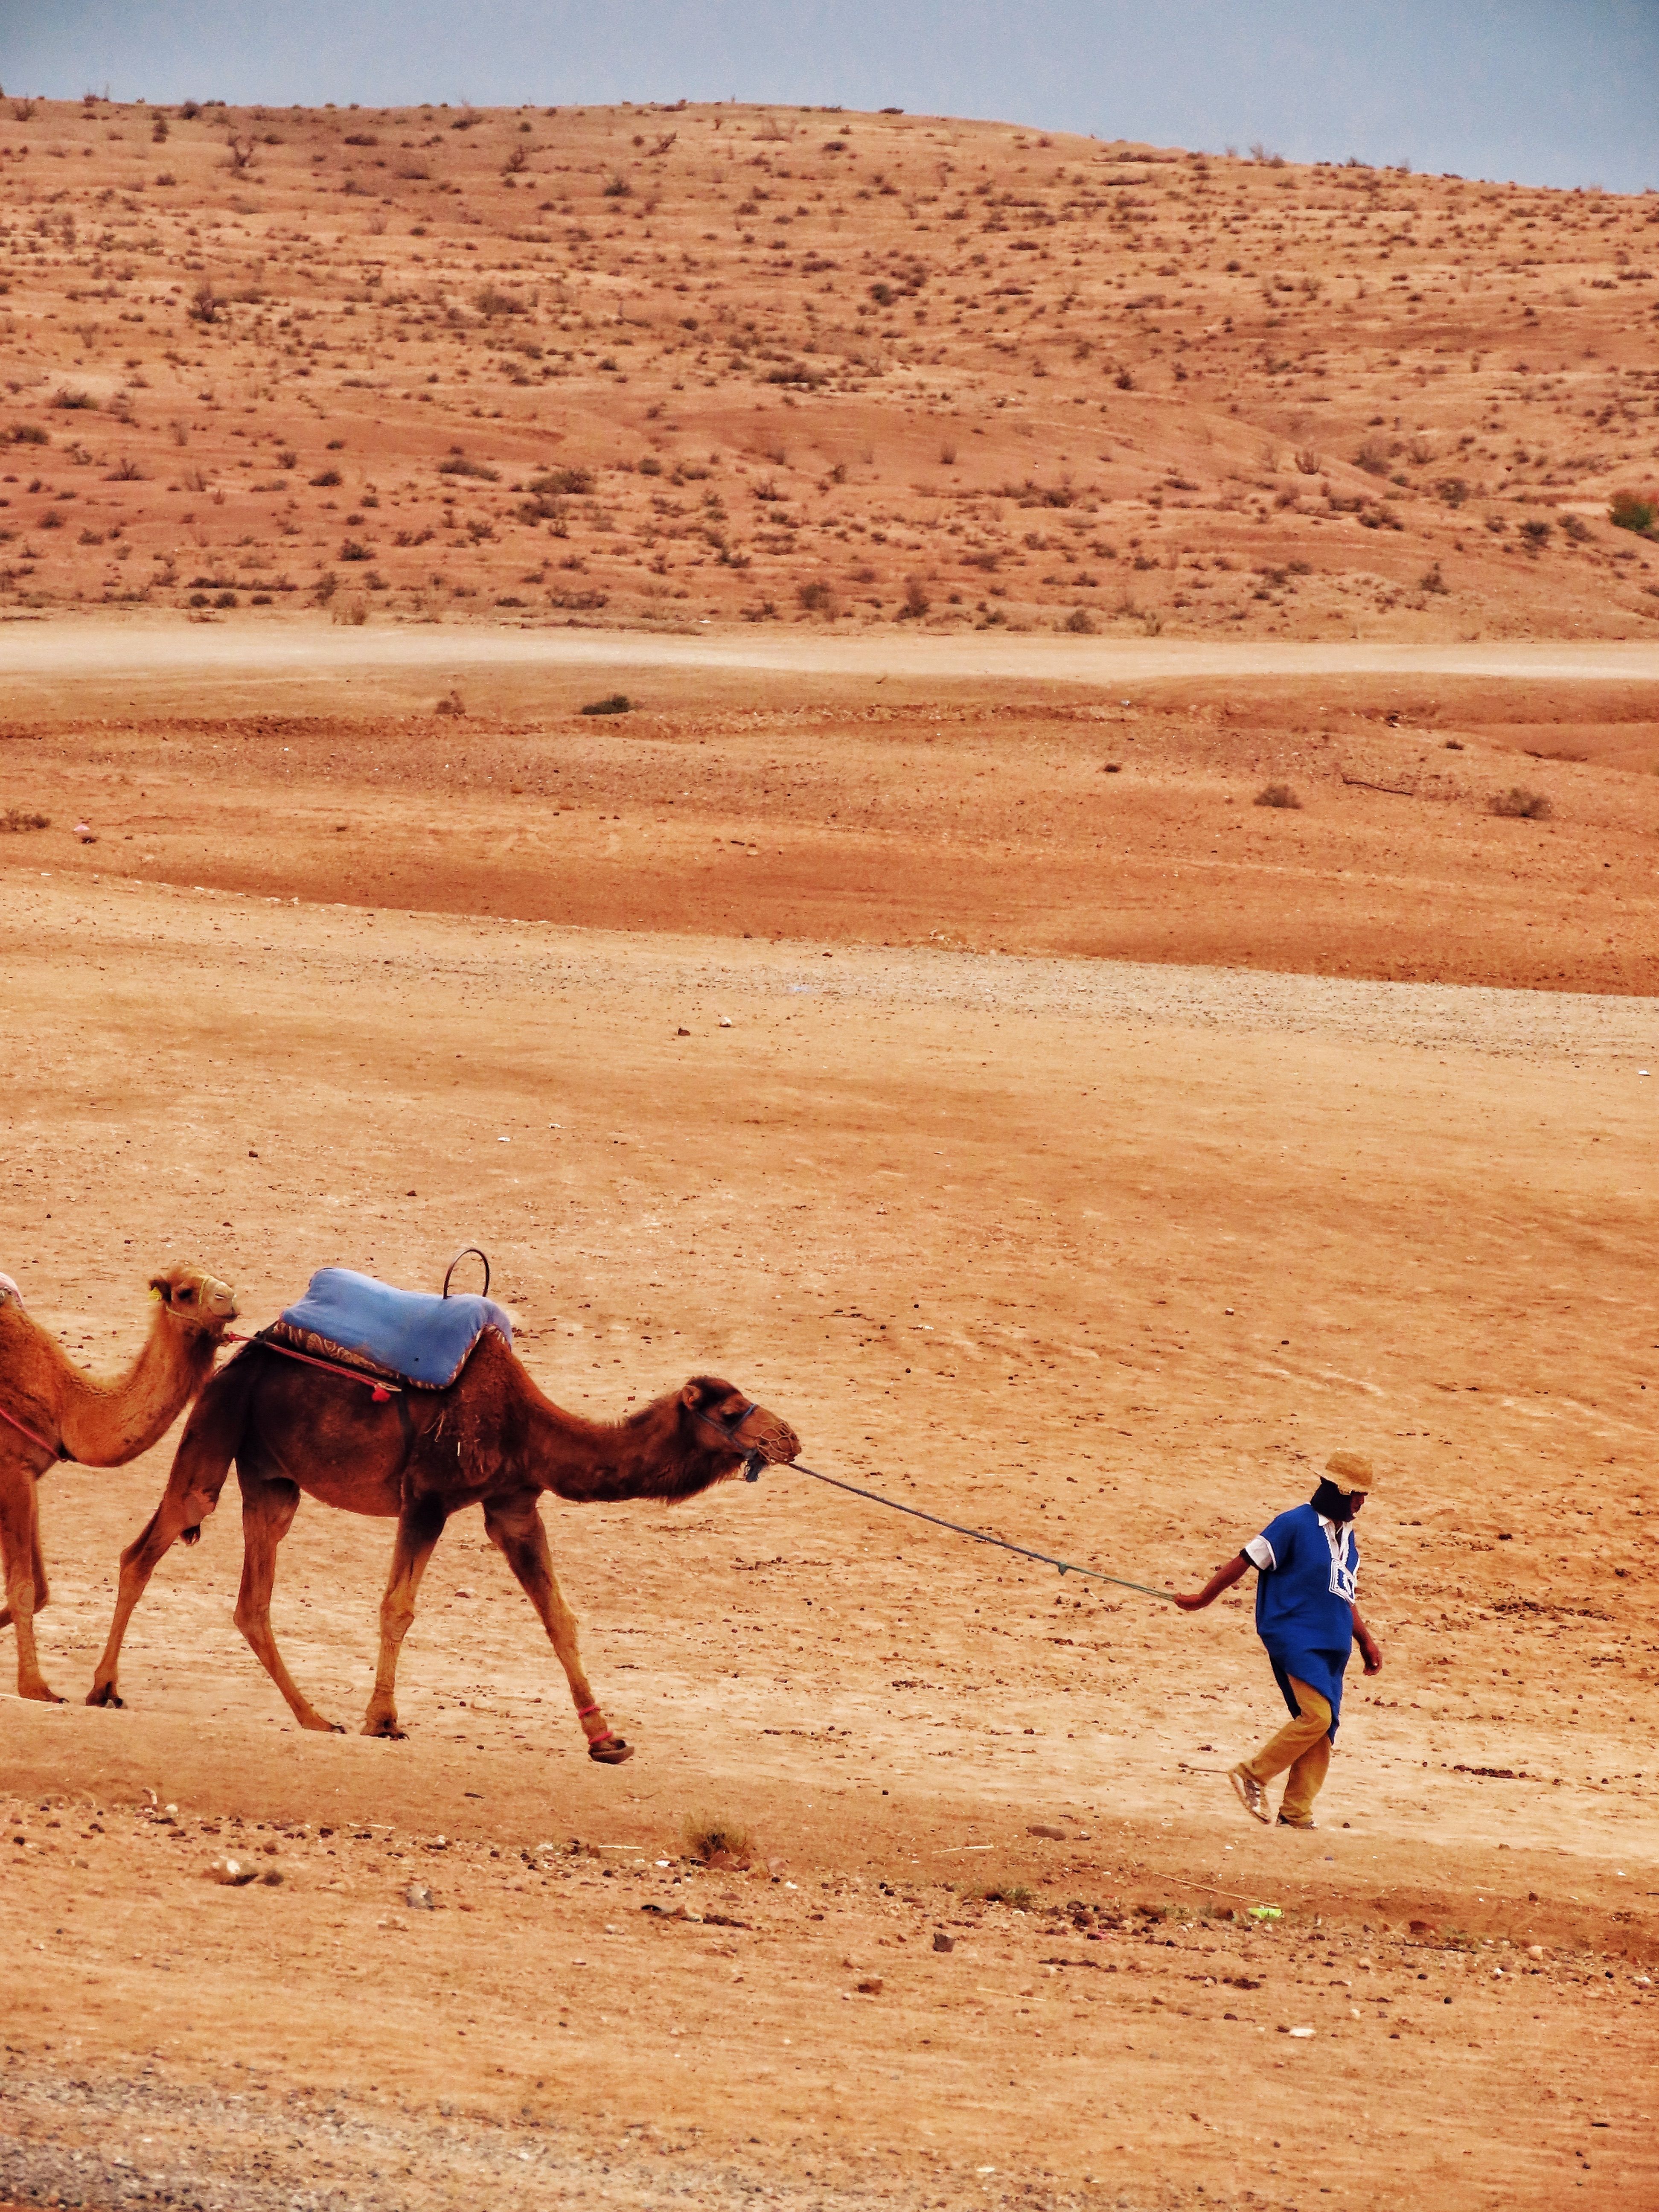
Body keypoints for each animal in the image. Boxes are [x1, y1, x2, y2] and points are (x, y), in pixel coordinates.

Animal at [0, 1264, 239, 1702]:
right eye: (185, 1291)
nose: (228, 1298)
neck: (66, 1404)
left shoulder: (28, 1476)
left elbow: (40, 1589)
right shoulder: (11, 1470)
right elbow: (24, 1587)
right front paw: (36, 1688)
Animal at [88, 1331, 800, 1759]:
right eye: (731, 1409)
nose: (790, 1437)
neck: (529, 1430)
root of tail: (234, 1361)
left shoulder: (513, 1506)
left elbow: (559, 1618)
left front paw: (605, 1737)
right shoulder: (427, 1496)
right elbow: (398, 1608)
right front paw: (383, 1719)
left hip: (272, 1478)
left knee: (252, 1600)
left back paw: (313, 1718)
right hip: (217, 1430)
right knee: (147, 1547)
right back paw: (102, 1689)